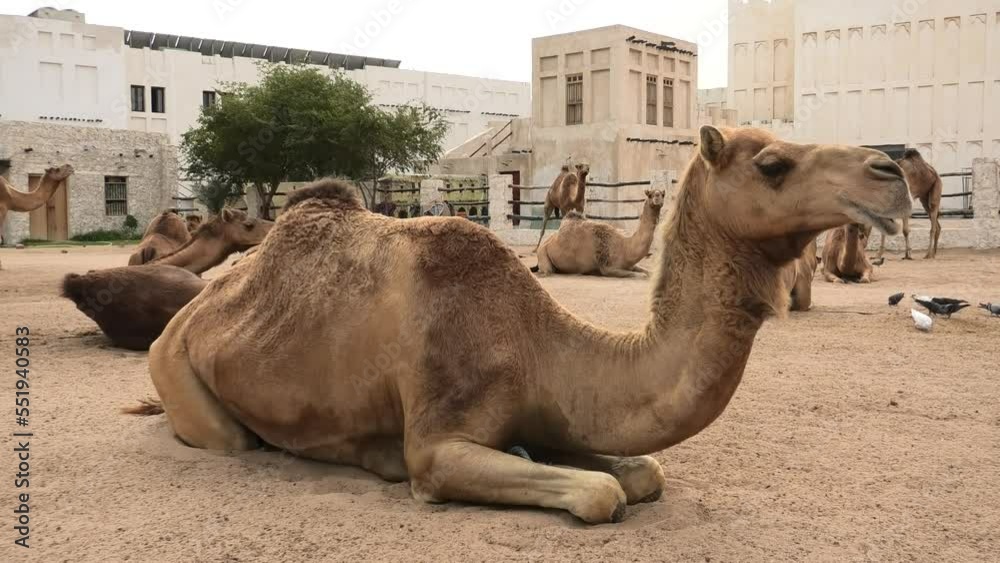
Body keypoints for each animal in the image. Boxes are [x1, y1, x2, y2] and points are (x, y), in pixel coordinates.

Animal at [533, 189, 665, 277]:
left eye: (663, 193)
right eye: (650, 194)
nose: (657, 197)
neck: (625, 246)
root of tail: (545, 243)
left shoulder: (630, 265)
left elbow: (648, 272)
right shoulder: (608, 268)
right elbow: (640, 275)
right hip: (543, 254)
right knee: (547, 271)